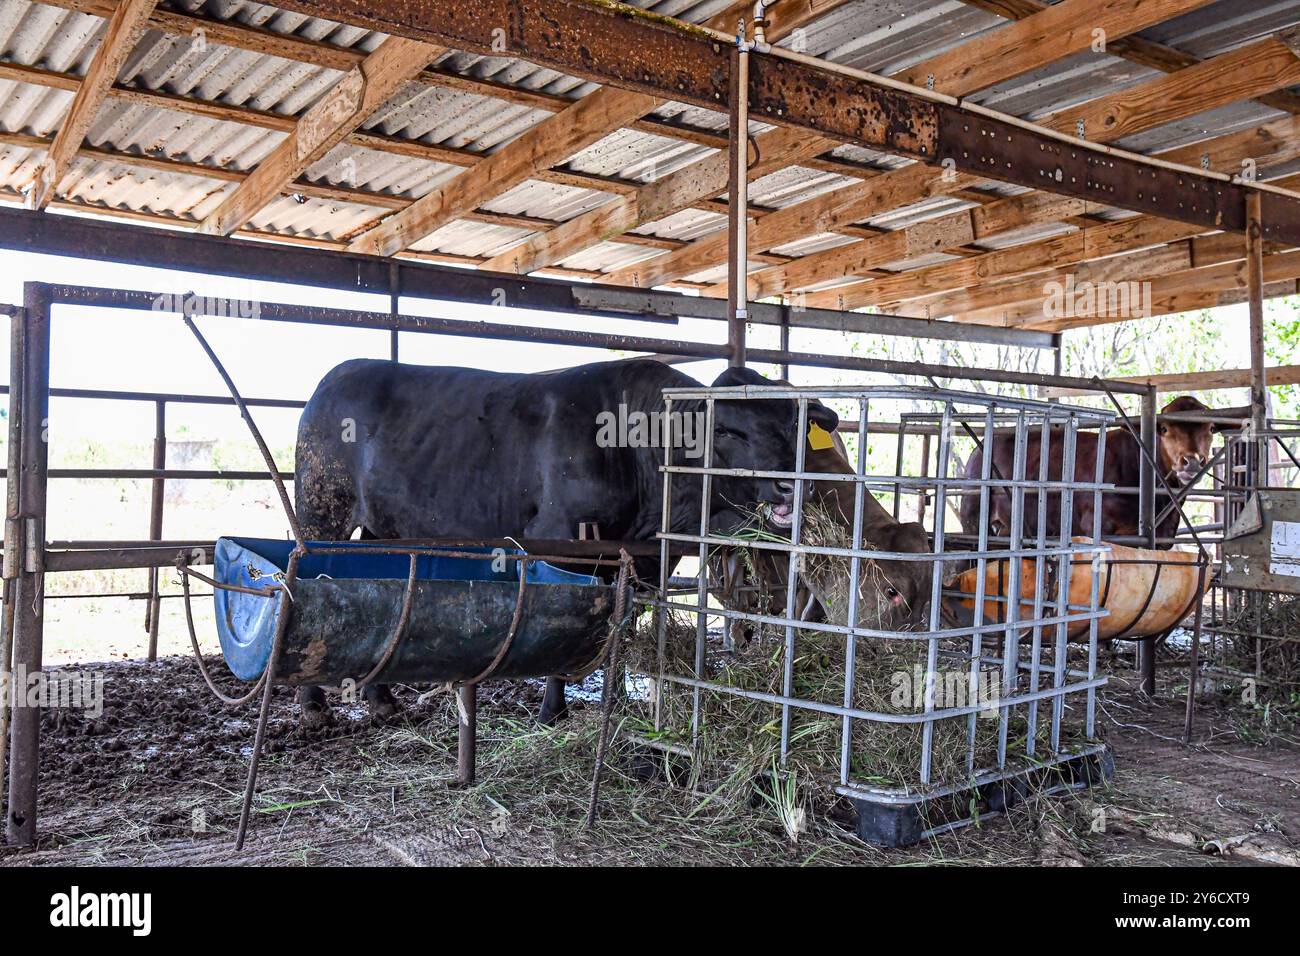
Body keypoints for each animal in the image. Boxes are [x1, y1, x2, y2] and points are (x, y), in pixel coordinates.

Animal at [292, 358, 838, 727]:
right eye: (725, 431)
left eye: (794, 425)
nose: (790, 484)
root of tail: (336, 376)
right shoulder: (558, 542)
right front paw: (553, 711)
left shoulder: (642, 563)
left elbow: (617, 627)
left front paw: (616, 703)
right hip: (321, 512)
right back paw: (313, 704)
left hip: (380, 527)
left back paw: (382, 700)